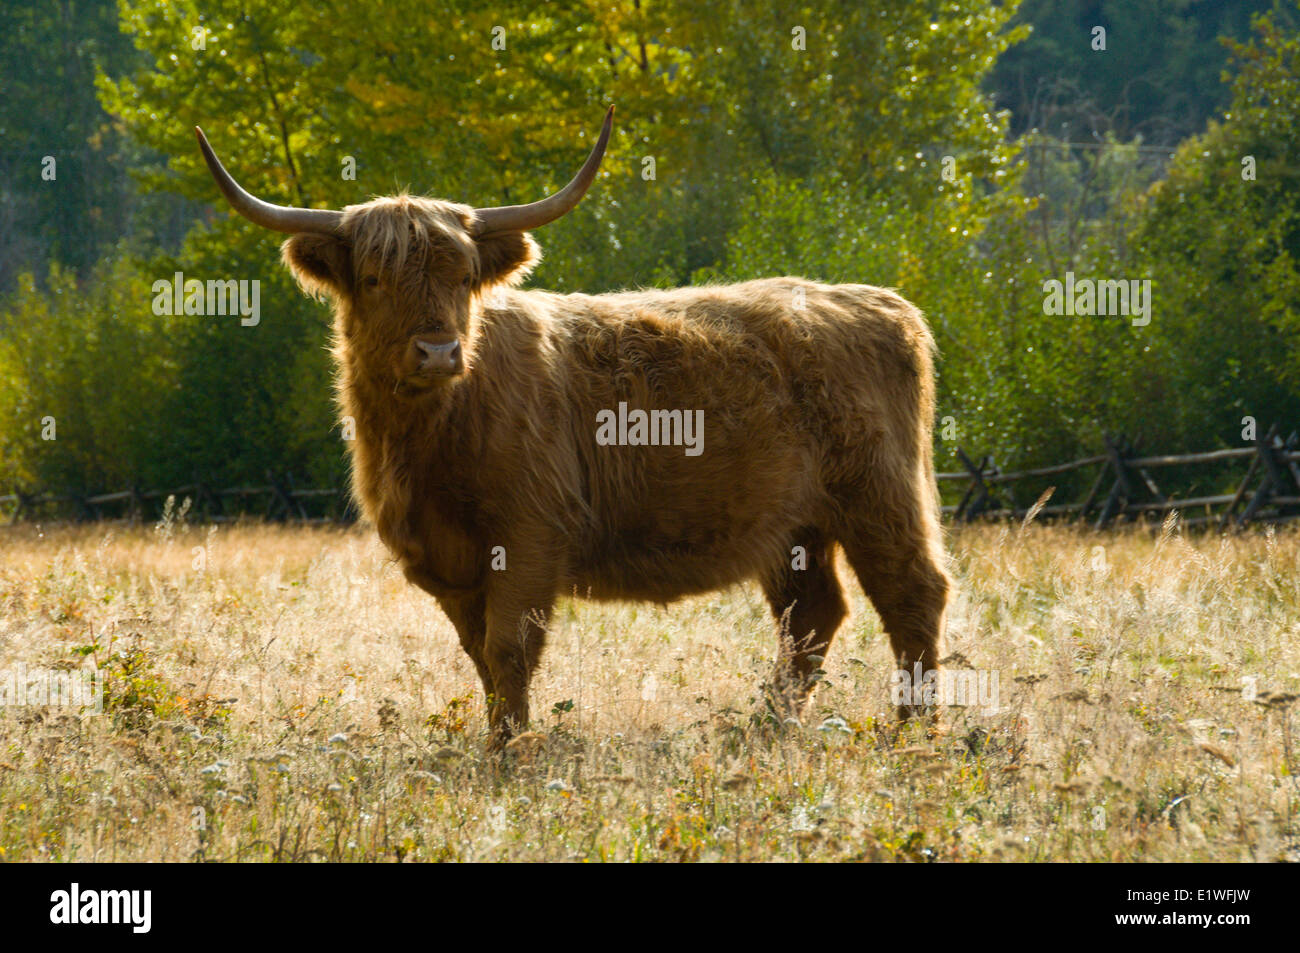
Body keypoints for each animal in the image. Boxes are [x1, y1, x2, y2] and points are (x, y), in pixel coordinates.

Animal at [195, 107, 951, 747]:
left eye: (463, 275)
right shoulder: (448, 561)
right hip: (793, 525)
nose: (438, 351)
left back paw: (914, 731)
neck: (429, 435)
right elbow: (480, 654)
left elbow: (510, 648)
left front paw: (510, 751)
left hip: (879, 496)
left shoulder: (530, 535)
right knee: (813, 614)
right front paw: (500, 739)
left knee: (910, 594)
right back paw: (765, 725)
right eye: (375, 278)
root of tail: (879, 301)